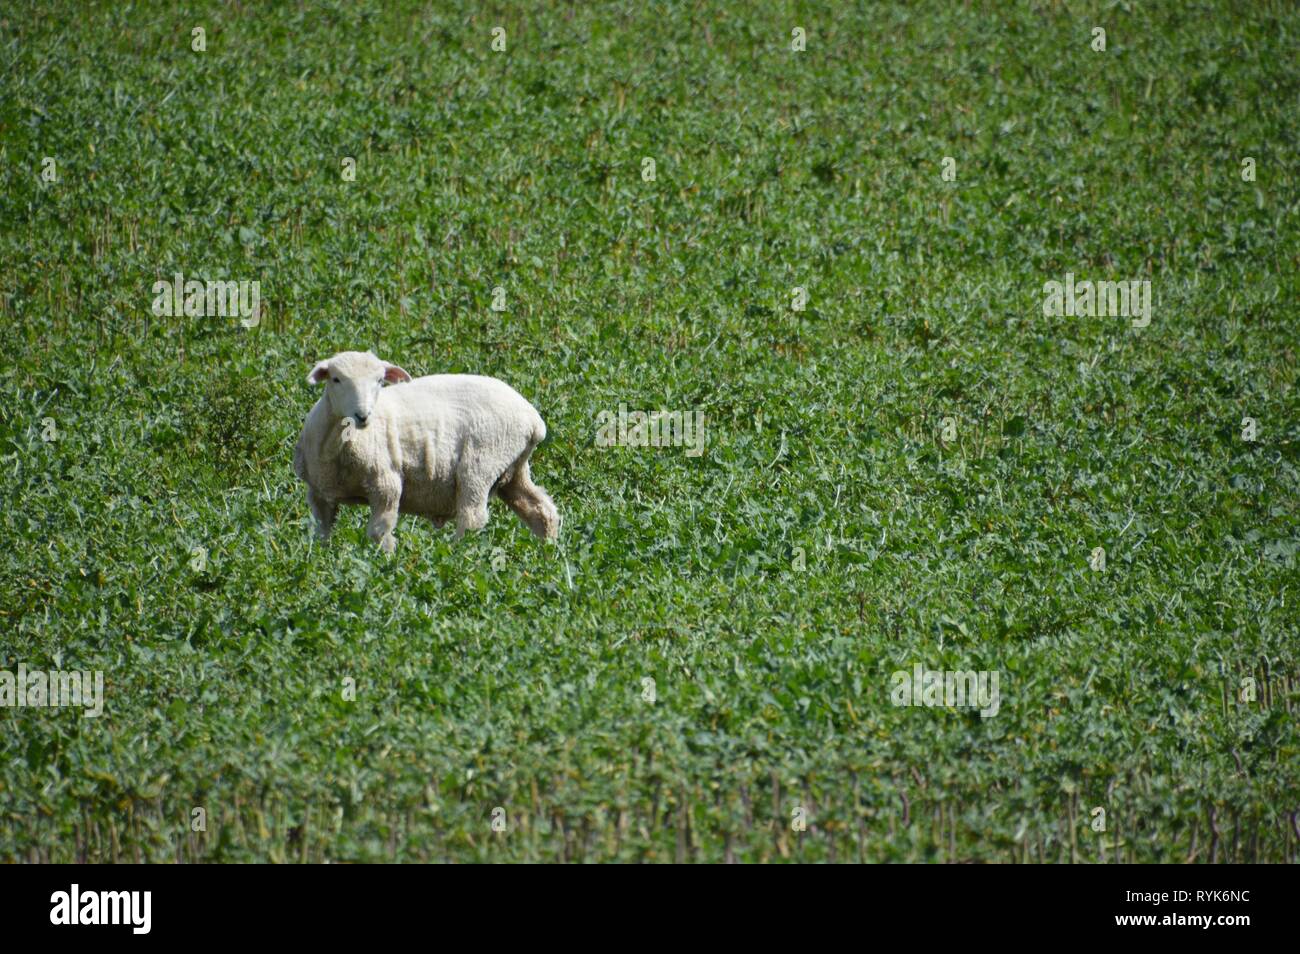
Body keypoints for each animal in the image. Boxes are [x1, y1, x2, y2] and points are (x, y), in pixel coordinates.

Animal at [293, 351, 559, 552]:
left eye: (379, 381)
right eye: (336, 379)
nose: (362, 415)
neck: (338, 444)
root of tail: (533, 419)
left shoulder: (385, 482)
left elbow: (380, 531)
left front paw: (385, 560)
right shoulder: (318, 494)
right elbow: (321, 533)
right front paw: (323, 561)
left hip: (482, 461)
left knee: (471, 518)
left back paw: (458, 556)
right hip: (513, 469)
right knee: (540, 510)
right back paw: (548, 554)